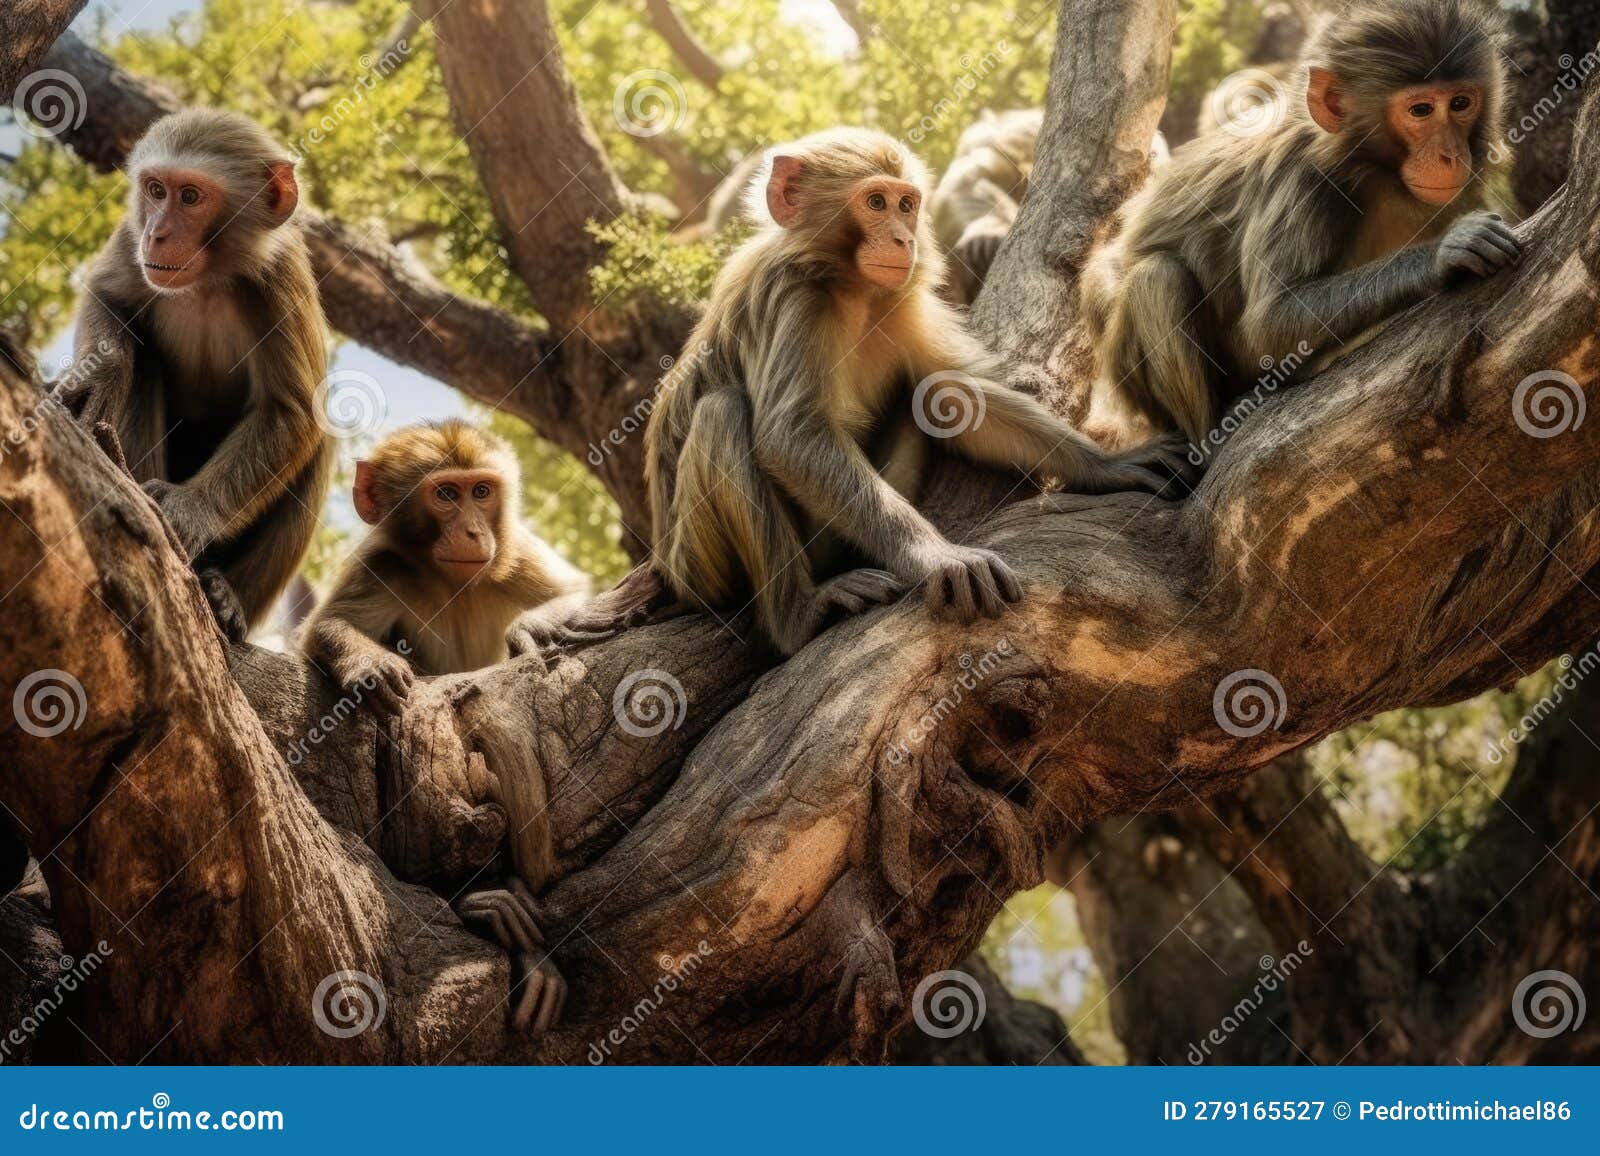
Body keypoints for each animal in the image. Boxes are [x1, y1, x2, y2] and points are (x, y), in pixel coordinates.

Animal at [69, 109, 332, 641]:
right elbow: (108, 298)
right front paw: (102, 379)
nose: (157, 234)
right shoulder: (129, 238)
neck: (207, 278)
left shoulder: (281, 275)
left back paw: (225, 595)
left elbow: (294, 409)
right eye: (155, 190)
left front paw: (190, 511)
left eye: (190, 197)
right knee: (143, 359)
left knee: (322, 442)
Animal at [301, 419, 592, 715]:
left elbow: (574, 592)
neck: (454, 585)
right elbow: (325, 626)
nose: (474, 532)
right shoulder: (380, 564)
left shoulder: (516, 554)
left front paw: (529, 628)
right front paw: (372, 664)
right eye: (446, 494)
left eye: (481, 491)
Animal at [643, 128, 1189, 657]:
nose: (903, 238)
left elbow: (953, 394)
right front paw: (935, 556)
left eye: (906, 204)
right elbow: (791, 437)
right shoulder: (793, 296)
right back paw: (796, 614)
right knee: (721, 413)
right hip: (699, 569)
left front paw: (1104, 465)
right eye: (875, 203)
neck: (850, 291)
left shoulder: (901, 302)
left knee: (919, 395)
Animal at [1081, 0, 1520, 451]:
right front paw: (1444, 253)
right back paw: (1208, 438)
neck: (1376, 173)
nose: (1451, 154)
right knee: (1157, 278)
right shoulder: (1301, 179)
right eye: (1421, 111)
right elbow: (1270, 323)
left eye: (1460, 103)